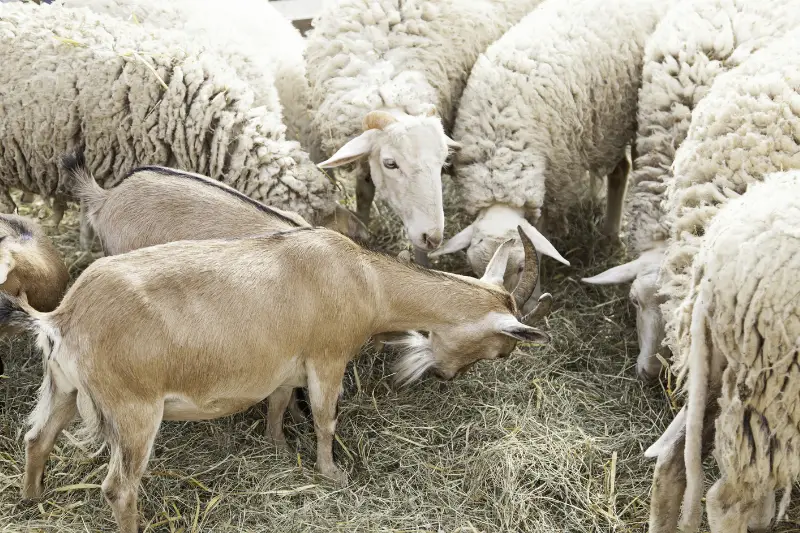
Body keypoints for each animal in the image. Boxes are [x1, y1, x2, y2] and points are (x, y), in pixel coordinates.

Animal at [4, 224, 551, 533]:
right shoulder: (328, 357)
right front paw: (333, 474)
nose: (448, 375)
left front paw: (280, 449)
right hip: (134, 407)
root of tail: (65, 317)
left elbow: (279, 403)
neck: (366, 280)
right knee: (118, 487)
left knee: (36, 437)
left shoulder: (289, 362)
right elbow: (326, 418)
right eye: (502, 348)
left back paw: (31, 498)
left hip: (64, 387)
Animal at [432, 0, 674, 309]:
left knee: (621, 171)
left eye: (520, 267)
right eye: (475, 270)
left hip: (618, 121)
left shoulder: (555, 177)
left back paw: (610, 234)